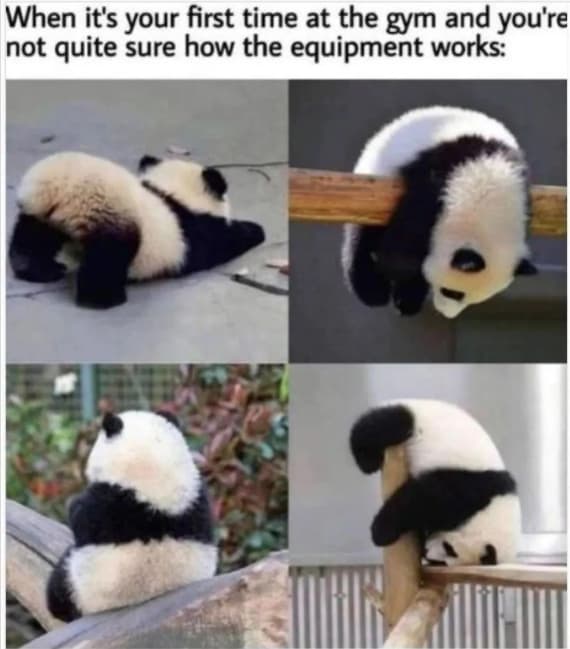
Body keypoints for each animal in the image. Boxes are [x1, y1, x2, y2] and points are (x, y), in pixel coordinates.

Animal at [9, 151, 265, 308]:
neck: (172, 192)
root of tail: (56, 192)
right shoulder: (194, 230)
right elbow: (219, 244)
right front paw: (254, 230)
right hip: (110, 216)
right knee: (107, 259)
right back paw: (104, 299)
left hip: (42, 215)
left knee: (31, 237)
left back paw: (39, 269)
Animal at [47, 410, 217, 621]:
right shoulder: (199, 498)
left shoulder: (105, 506)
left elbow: (80, 516)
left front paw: (73, 504)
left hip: (80, 585)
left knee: (58, 586)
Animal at [341, 106, 538, 318]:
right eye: (452, 292)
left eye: (474, 300)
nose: (447, 314)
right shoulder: (432, 182)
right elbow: (403, 243)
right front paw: (397, 273)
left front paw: (409, 292)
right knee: (361, 237)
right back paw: (372, 292)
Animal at [349, 399, 520, 566]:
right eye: (450, 549)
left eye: (449, 553)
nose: (428, 554)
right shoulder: (469, 490)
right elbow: (422, 500)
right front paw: (381, 532)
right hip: (415, 420)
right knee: (382, 425)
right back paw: (367, 461)